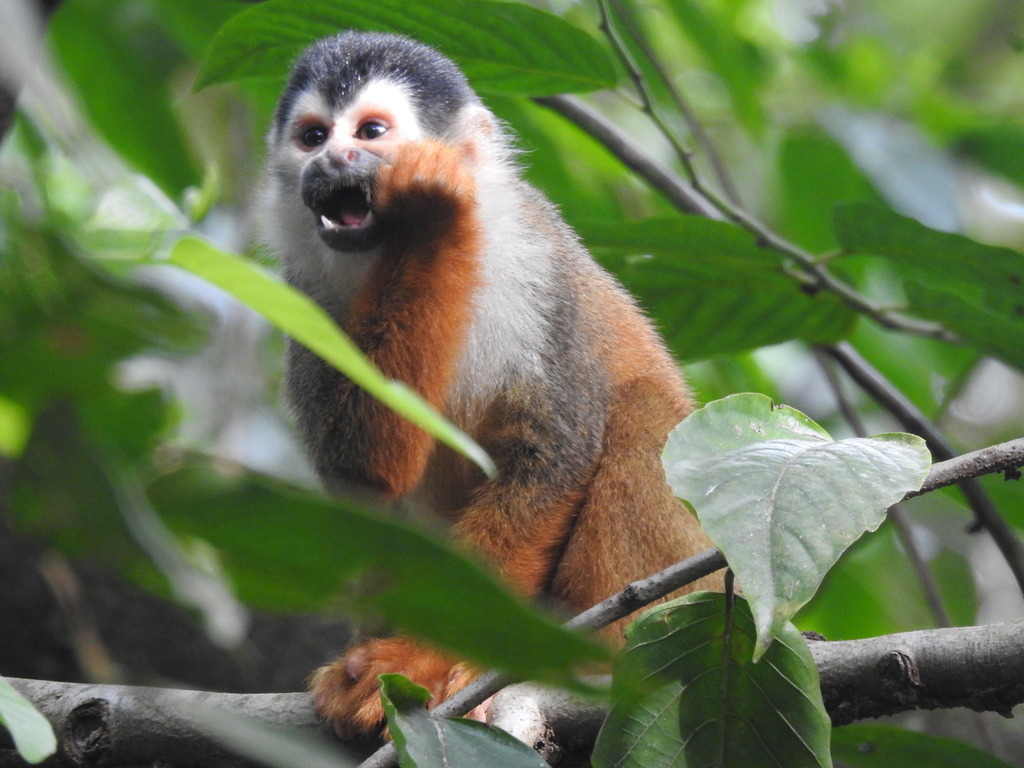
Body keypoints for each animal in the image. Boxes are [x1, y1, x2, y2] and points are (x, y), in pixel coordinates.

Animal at [257, 31, 720, 738]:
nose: (332, 157)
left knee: (645, 413)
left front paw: (427, 656)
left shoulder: (538, 264)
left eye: (370, 131)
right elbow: (366, 475)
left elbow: (553, 450)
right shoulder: (303, 295)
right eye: (312, 136)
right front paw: (429, 223)